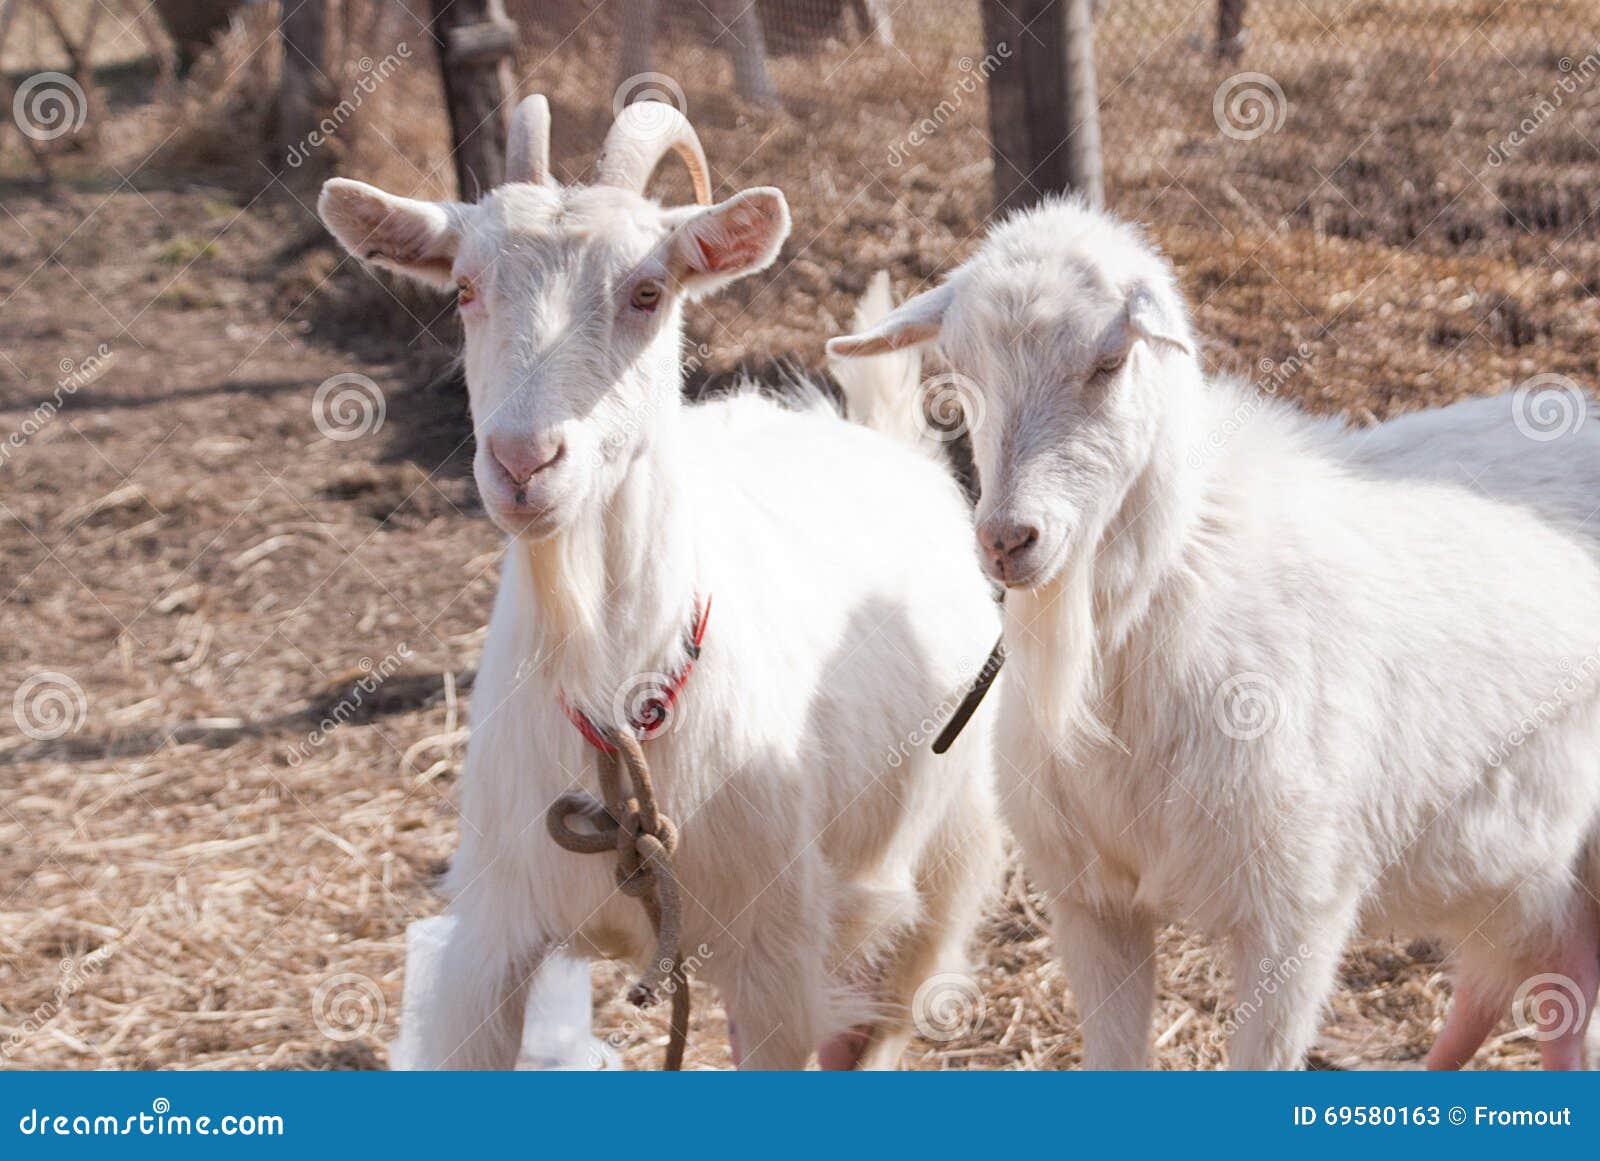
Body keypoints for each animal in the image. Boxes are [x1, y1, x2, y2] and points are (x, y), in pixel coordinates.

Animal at [318, 96, 1001, 1069]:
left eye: (647, 291)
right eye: (465, 287)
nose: (523, 461)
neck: (612, 700)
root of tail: (887, 440)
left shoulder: (774, 960)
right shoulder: (491, 935)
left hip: (941, 865)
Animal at [829, 197, 1600, 1070]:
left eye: (1109, 362)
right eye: (959, 372)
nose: (1006, 540)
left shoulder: (1295, 915)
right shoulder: (1094, 903)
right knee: (1534, 976)